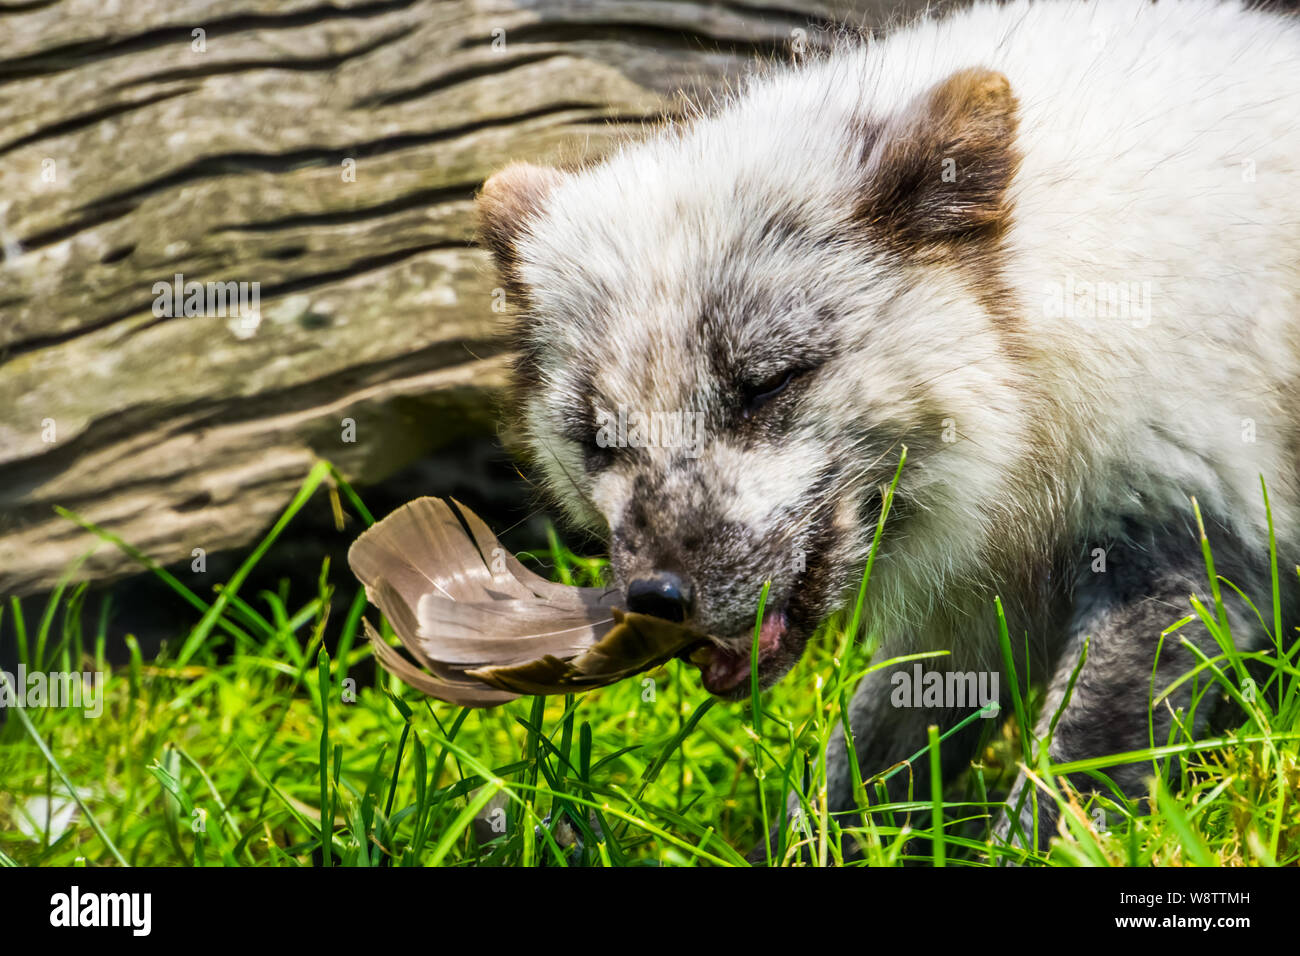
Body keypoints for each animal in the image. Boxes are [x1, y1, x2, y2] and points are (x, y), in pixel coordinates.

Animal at [474, 0, 1300, 848]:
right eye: (598, 437)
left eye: (767, 384)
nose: (656, 597)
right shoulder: (969, 611)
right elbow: (857, 768)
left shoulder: (1183, 554)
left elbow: (1059, 796)